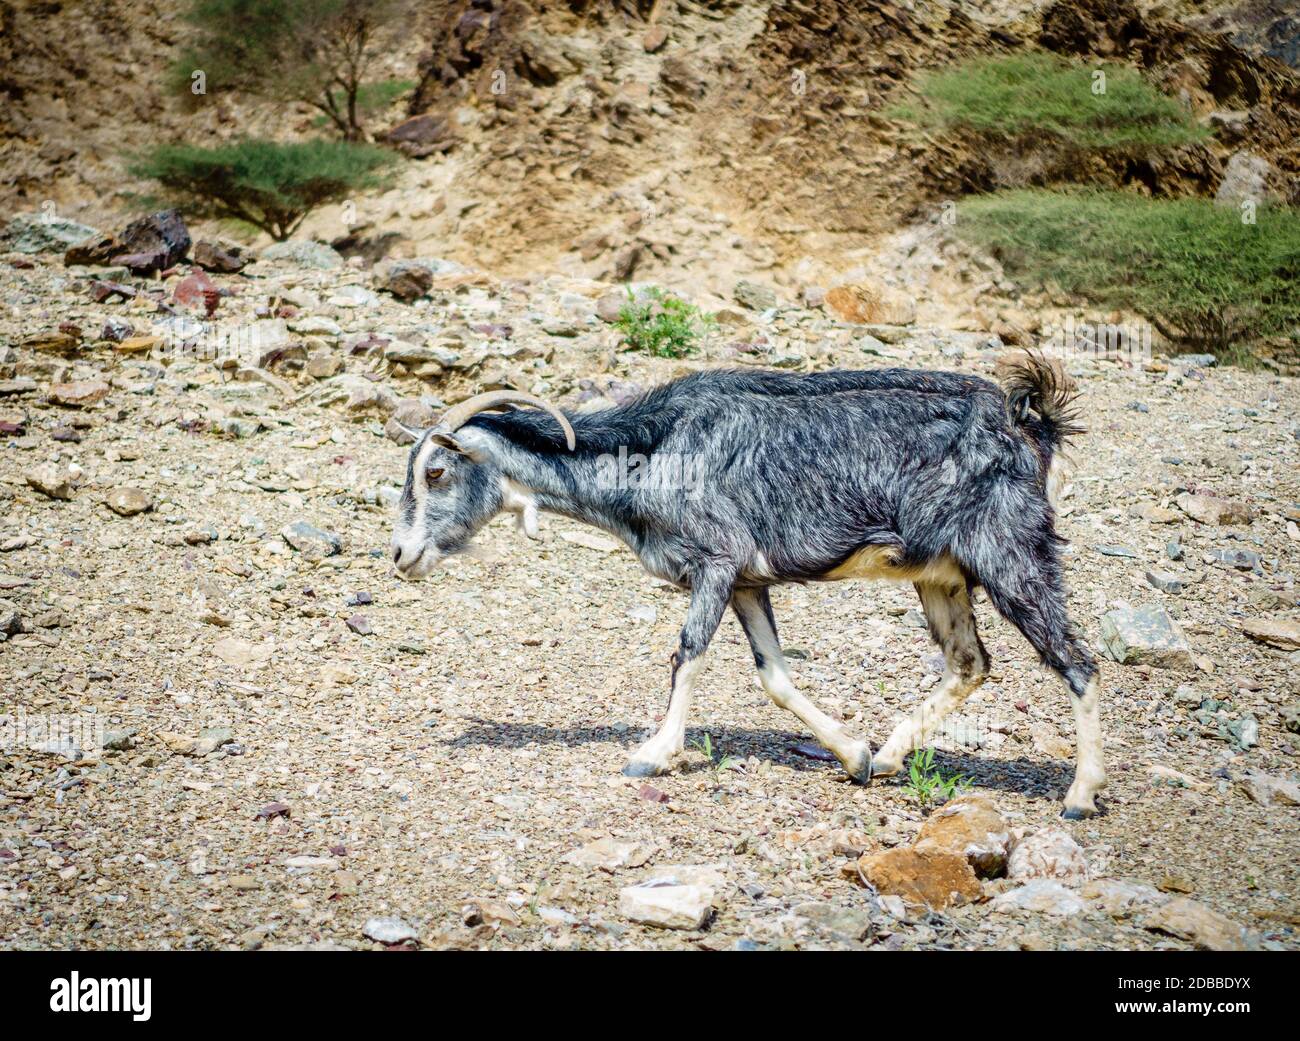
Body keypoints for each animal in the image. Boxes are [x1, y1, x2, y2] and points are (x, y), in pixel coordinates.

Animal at [390, 357, 1106, 818]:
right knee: (969, 661)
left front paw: (652, 754)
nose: (401, 555)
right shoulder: (746, 582)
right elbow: (774, 675)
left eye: (436, 472)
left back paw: (1079, 797)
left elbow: (687, 653)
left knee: (1076, 663)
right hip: (942, 575)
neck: (652, 450)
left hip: (1011, 552)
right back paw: (890, 756)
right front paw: (854, 755)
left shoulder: (716, 561)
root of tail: (1029, 425)